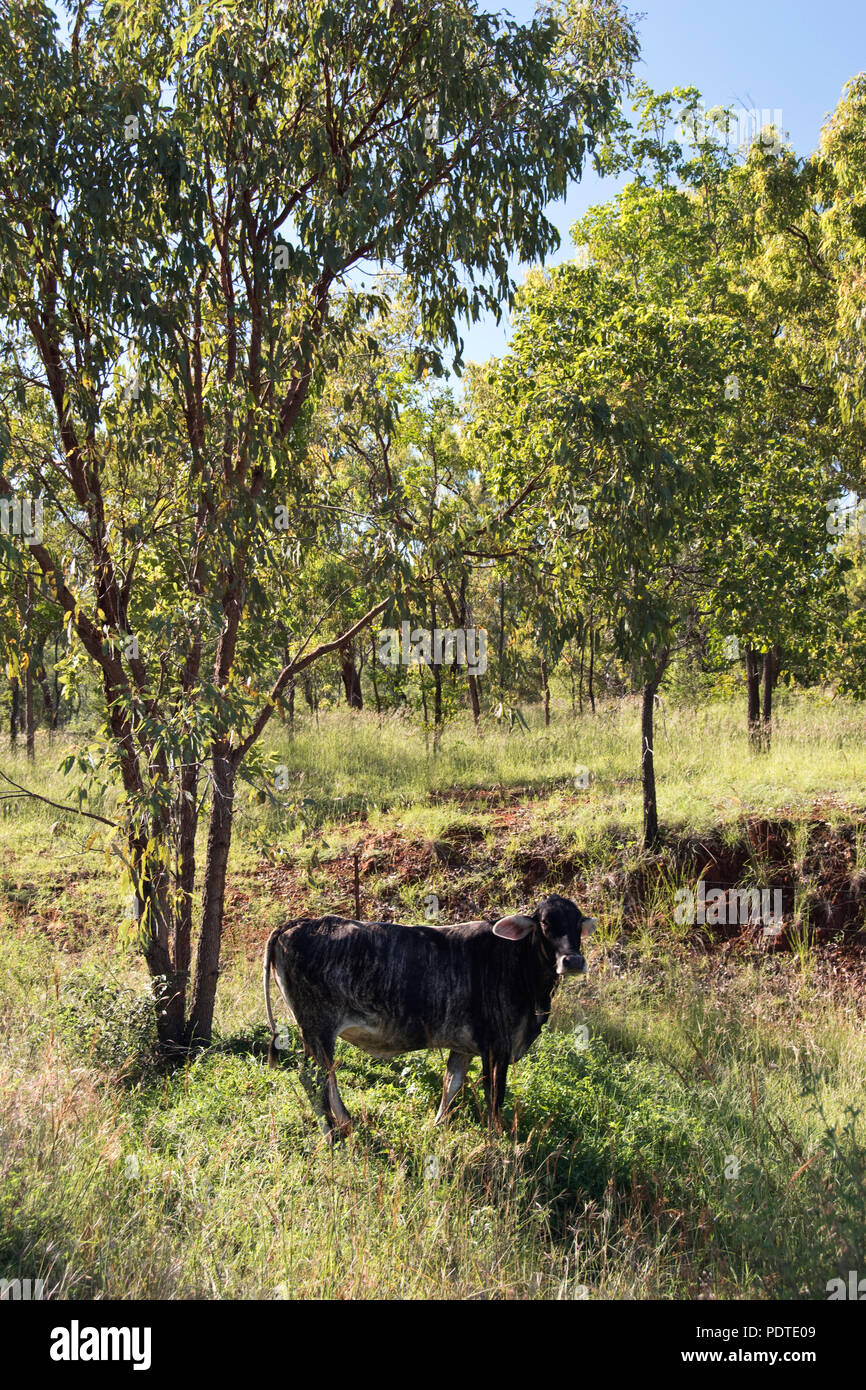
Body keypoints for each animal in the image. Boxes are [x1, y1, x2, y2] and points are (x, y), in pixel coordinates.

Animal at [262, 893, 597, 1140]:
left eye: (578, 922)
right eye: (545, 923)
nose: (573, 960)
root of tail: (298, 923)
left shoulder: (464, 1046)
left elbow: (452, 1084)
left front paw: (437, 1125)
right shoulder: (497, 1047)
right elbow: (494, 1097)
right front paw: (497, 1141)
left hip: (316, 1033)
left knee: (328, 1075)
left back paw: (347, 1124)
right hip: (317, 1025)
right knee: (314, 1078)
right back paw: (332, 1135)